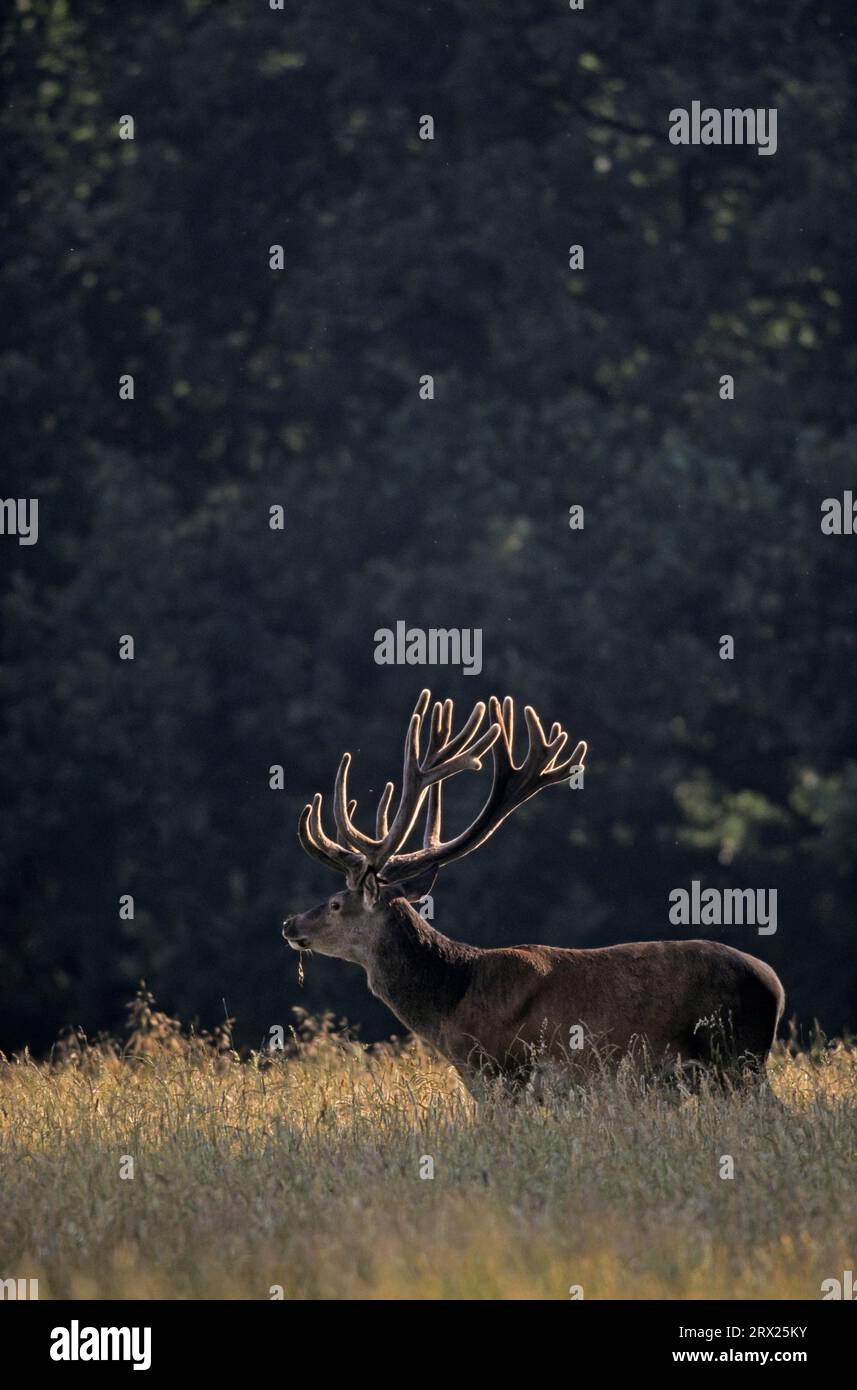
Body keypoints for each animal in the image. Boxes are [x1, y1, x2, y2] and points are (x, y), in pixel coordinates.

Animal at [282, 690, 785, 1094]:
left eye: (335, 903)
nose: (290, 923)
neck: (451, 1004)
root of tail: (775, 986)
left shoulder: (499, 1070)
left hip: (735, 1057)